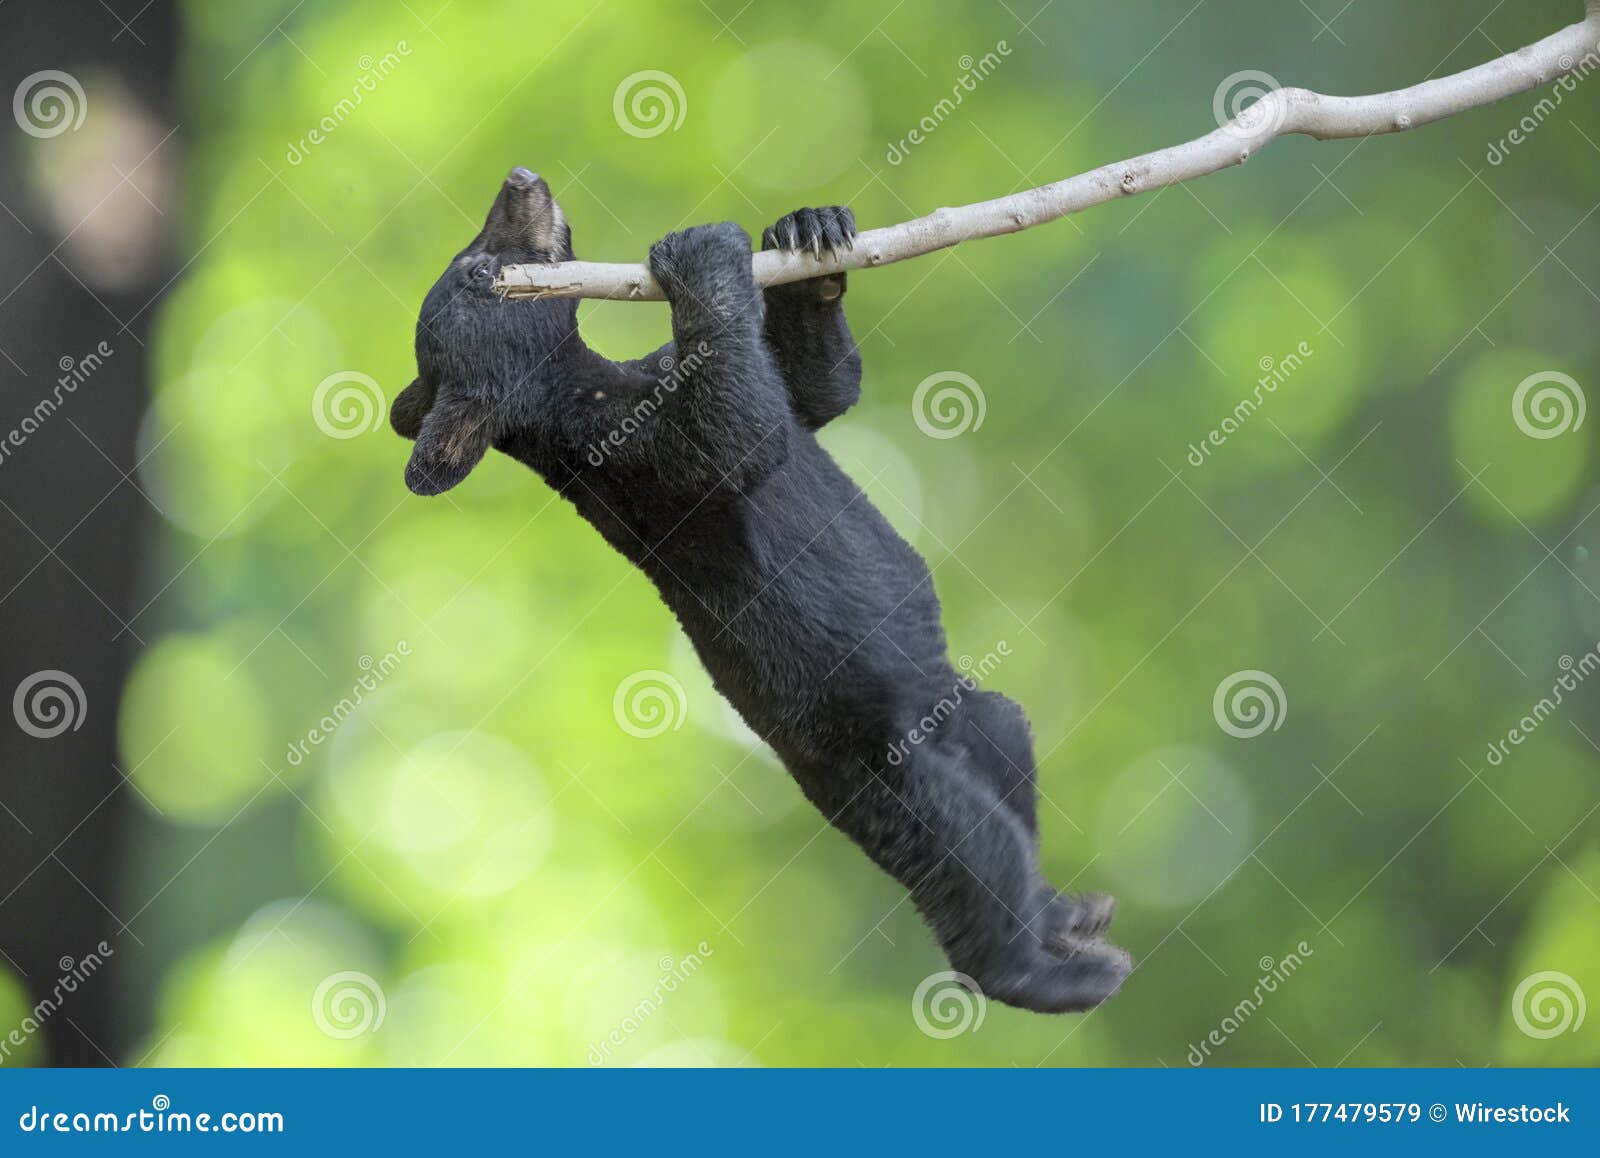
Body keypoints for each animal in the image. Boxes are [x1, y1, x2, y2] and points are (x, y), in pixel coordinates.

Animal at [392, 167, 1131, 1013]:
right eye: (478, 272)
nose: (521, 180)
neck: (587, 385)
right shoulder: (633, 455)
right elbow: (737, 434)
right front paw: (700, 251)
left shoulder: (651, 374)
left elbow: (814, 393)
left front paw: (810, 229)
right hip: (878, 767)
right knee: (965, 850)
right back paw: (1050, 970)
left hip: (962, 716)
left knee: (1004, 742)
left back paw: (1065, 911)